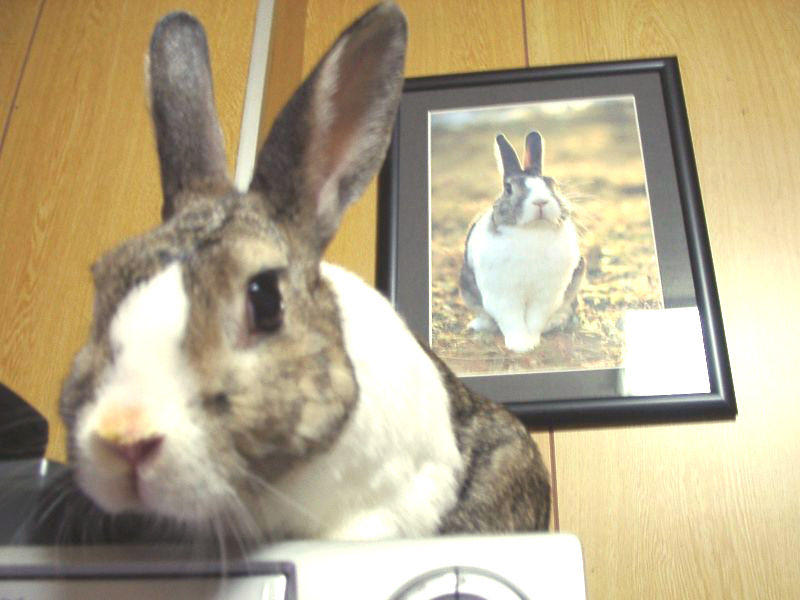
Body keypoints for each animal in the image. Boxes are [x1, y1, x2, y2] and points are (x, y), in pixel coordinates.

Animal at [459, 131, 586, 353]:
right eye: (509, 188)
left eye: (552, 184)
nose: (540, 202)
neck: (532, 230)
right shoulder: (502, 295)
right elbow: (511, 319)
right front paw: (520, 345)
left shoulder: (546, 295)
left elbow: (535, 319)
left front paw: (531, 342)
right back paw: (478, 325)